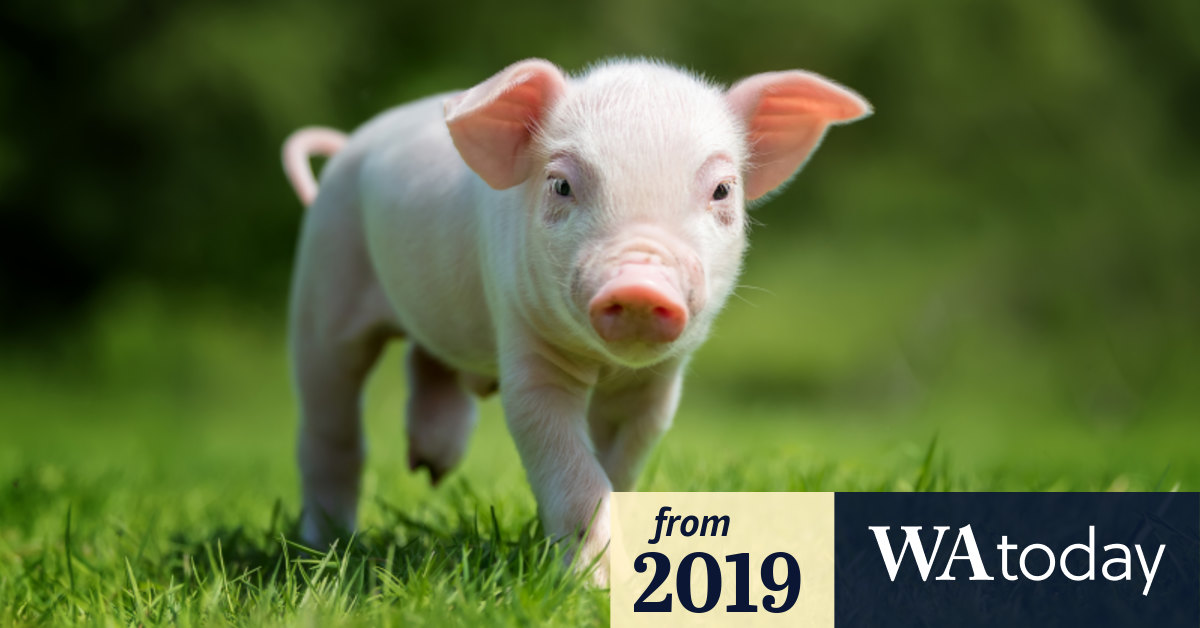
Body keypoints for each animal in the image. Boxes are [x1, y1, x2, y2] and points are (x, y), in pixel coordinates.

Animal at [282, 58, 870, 581]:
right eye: (561, 185)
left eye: (722, 190)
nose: (638, 284)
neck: (605, 364)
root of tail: (347, 147)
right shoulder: (528, 350)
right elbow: (569, 467)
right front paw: (592, 586)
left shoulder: (654, 388)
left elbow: (619, 463)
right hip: (323, 284)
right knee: (330, 420)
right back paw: (327, 542)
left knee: (429, 359)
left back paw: (430, 466)